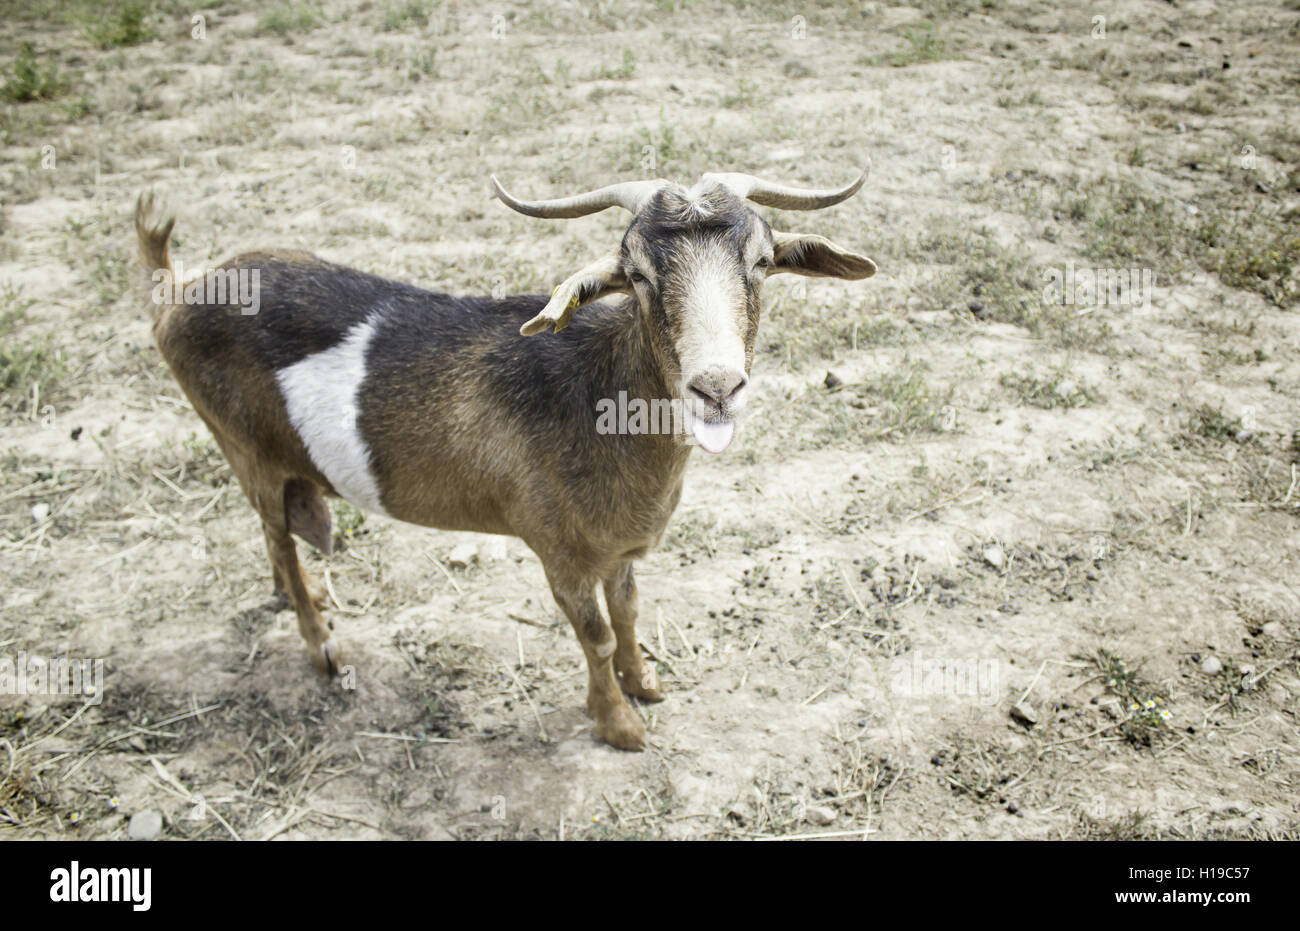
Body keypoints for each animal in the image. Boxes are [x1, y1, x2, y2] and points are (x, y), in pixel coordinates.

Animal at [134, 165, 876, 750]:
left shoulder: (617, 548)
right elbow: (596, 635)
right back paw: (320, 643)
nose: (716, 386)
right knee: (276, 531)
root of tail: (176, 288)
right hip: (242, 445)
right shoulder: (559, 552)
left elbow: (629, 612)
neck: (595, 390)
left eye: (762, 261)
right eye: (636, 274)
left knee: (276, 531)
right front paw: (618, 725)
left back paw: (304, 595)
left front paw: (645, 684)